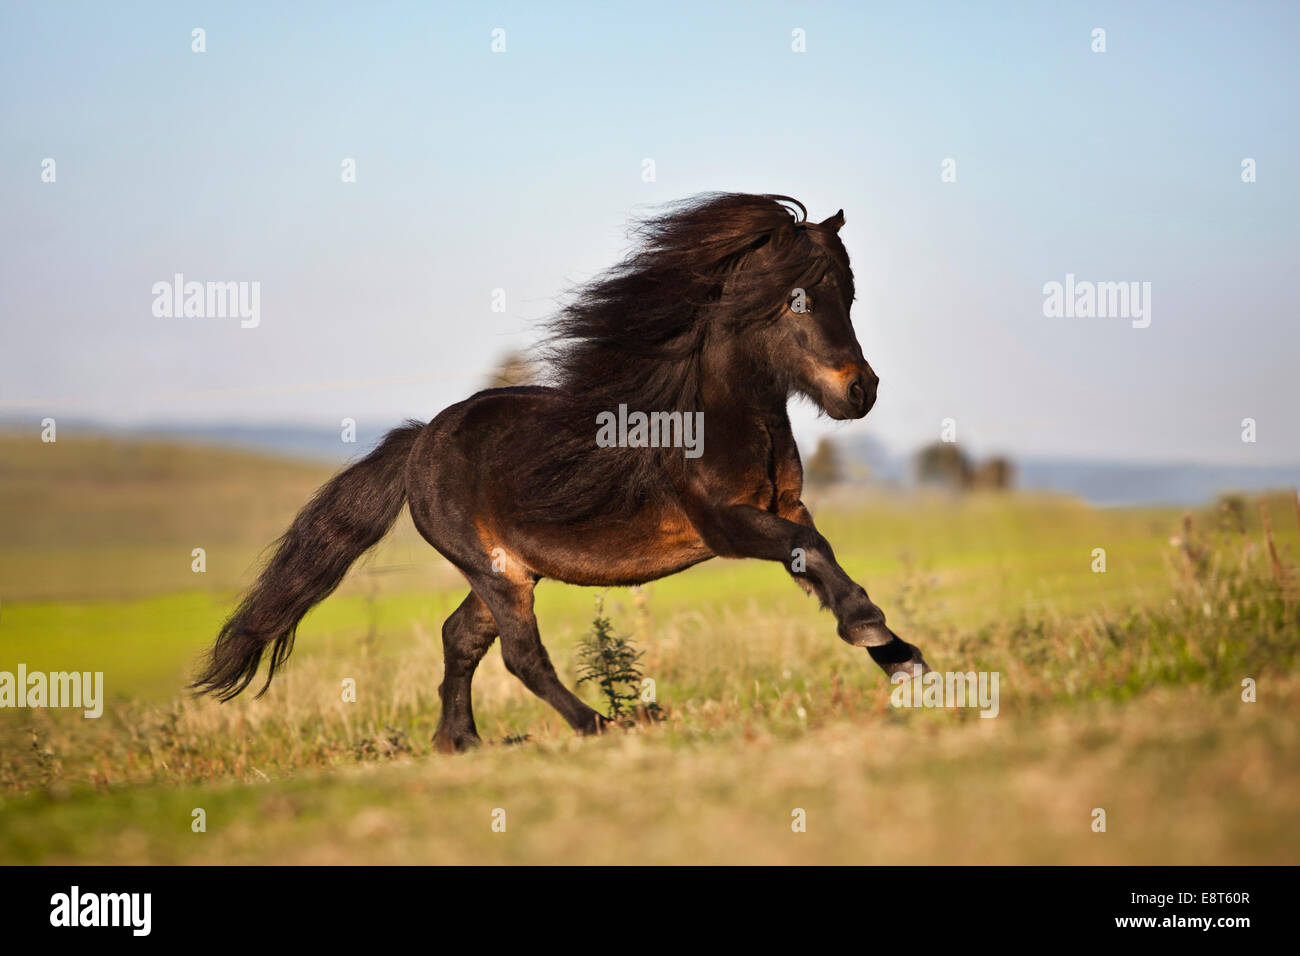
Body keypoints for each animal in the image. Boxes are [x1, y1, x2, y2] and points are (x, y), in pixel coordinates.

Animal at [192, 192, 930, 752]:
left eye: (849, 294)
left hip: (509, 571)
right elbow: (810, 551)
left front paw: (903, 658)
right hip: (497, 572)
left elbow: (816, 554)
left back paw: (461, 742)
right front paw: (873, 629)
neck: (710, 417)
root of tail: (422, 440)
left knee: (461, 638)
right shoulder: (725, 525)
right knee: (519, 655)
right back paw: (601, 724)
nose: (859, 391)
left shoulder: (783, 508)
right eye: (797, 299)